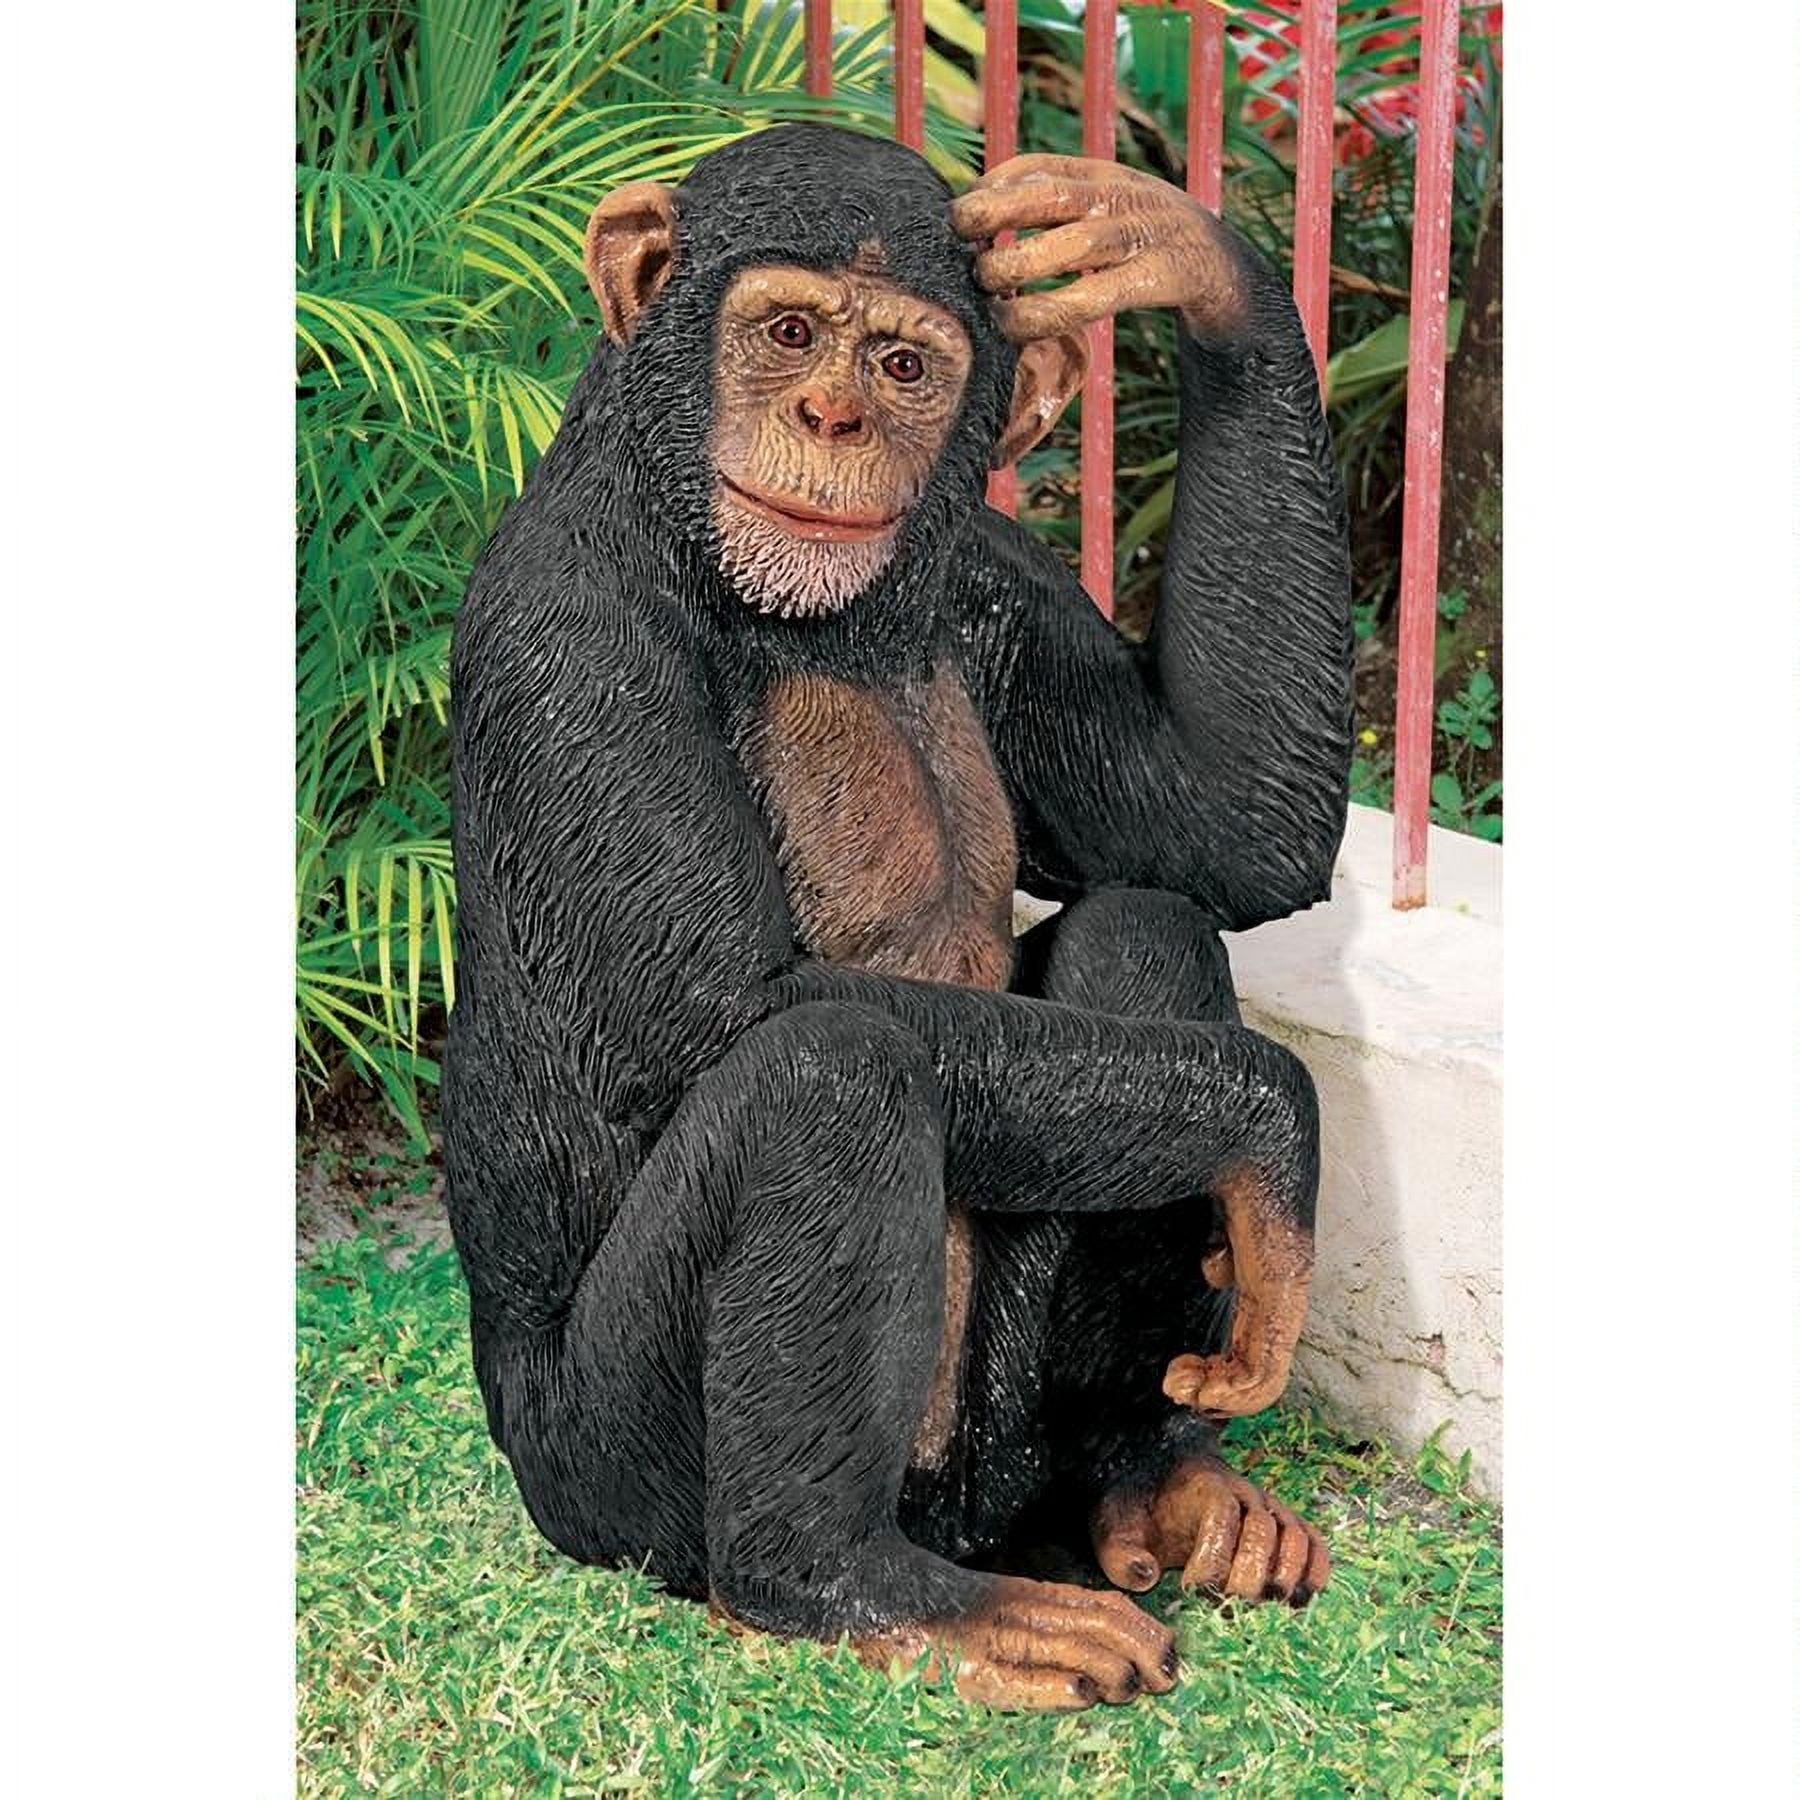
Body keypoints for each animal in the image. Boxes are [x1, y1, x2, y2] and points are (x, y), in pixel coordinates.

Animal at [444, 123, 1354, 1712]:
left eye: (907, 365)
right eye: (789, 335)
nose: (831, 413)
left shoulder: (1001, 579)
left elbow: (1231, 829)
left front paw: (1176, 250)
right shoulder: (570, 639)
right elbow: (722, 1014)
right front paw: (1272, 1122)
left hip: (992, 1463)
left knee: (1147, 921)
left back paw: (1153, 1481)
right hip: (607, 1485)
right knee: (831, 1078)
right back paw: (857, 1592)